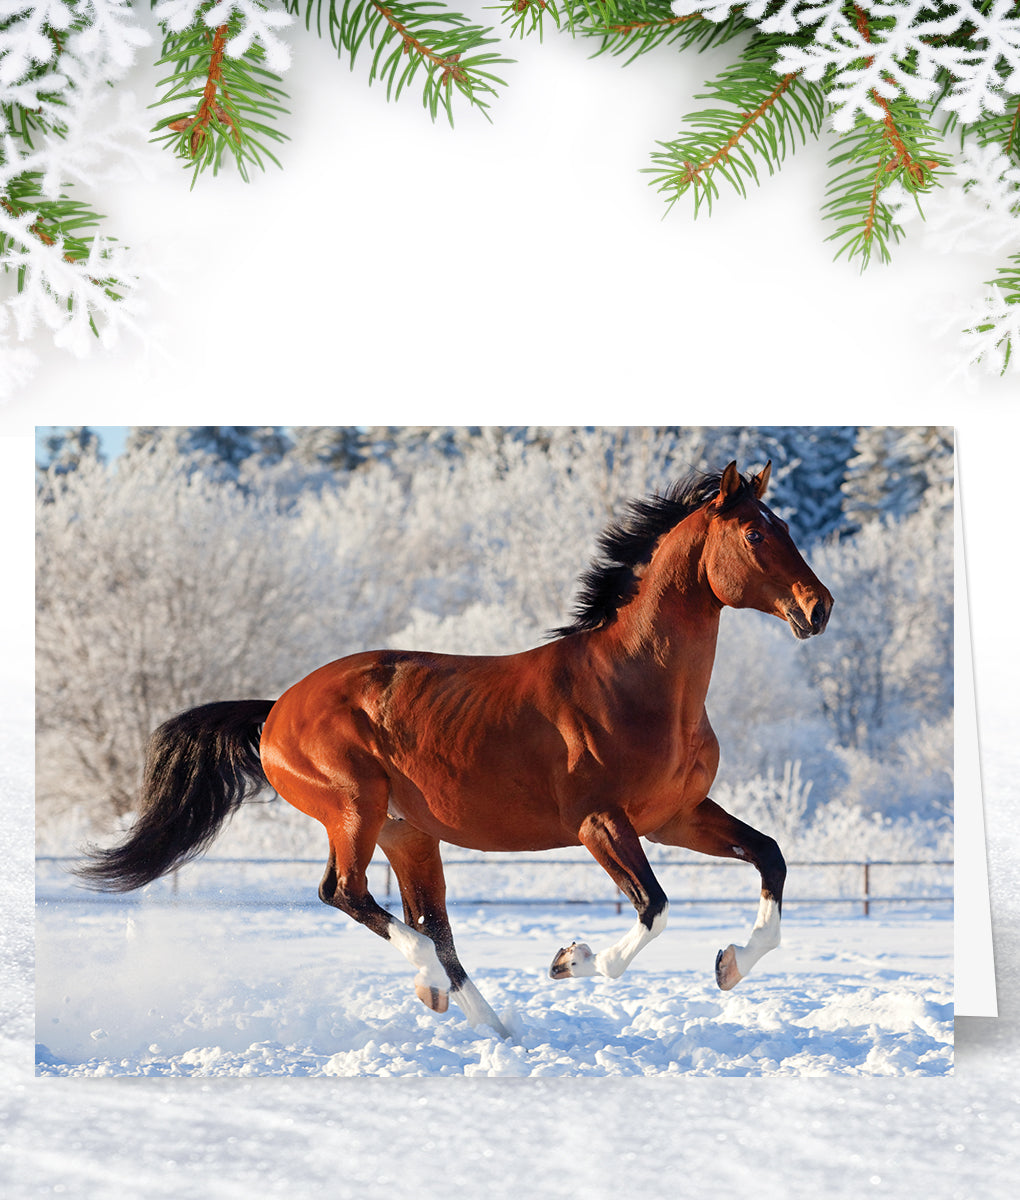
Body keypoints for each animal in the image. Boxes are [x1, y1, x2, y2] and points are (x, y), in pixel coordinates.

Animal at [78, 461, 833, 1040]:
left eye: (788, 529)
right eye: (756, 532)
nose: (818, 607)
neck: (635, 684)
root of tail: (275, 713)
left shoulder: (675, 816)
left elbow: (770, 856)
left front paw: (730, 963)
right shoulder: (602, 823)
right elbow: (654, 906)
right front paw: (571, 959)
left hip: (407, 833)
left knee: (428, 924)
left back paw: (489, 1024)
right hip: (354, 810)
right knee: (347, 895)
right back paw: (433, 985)